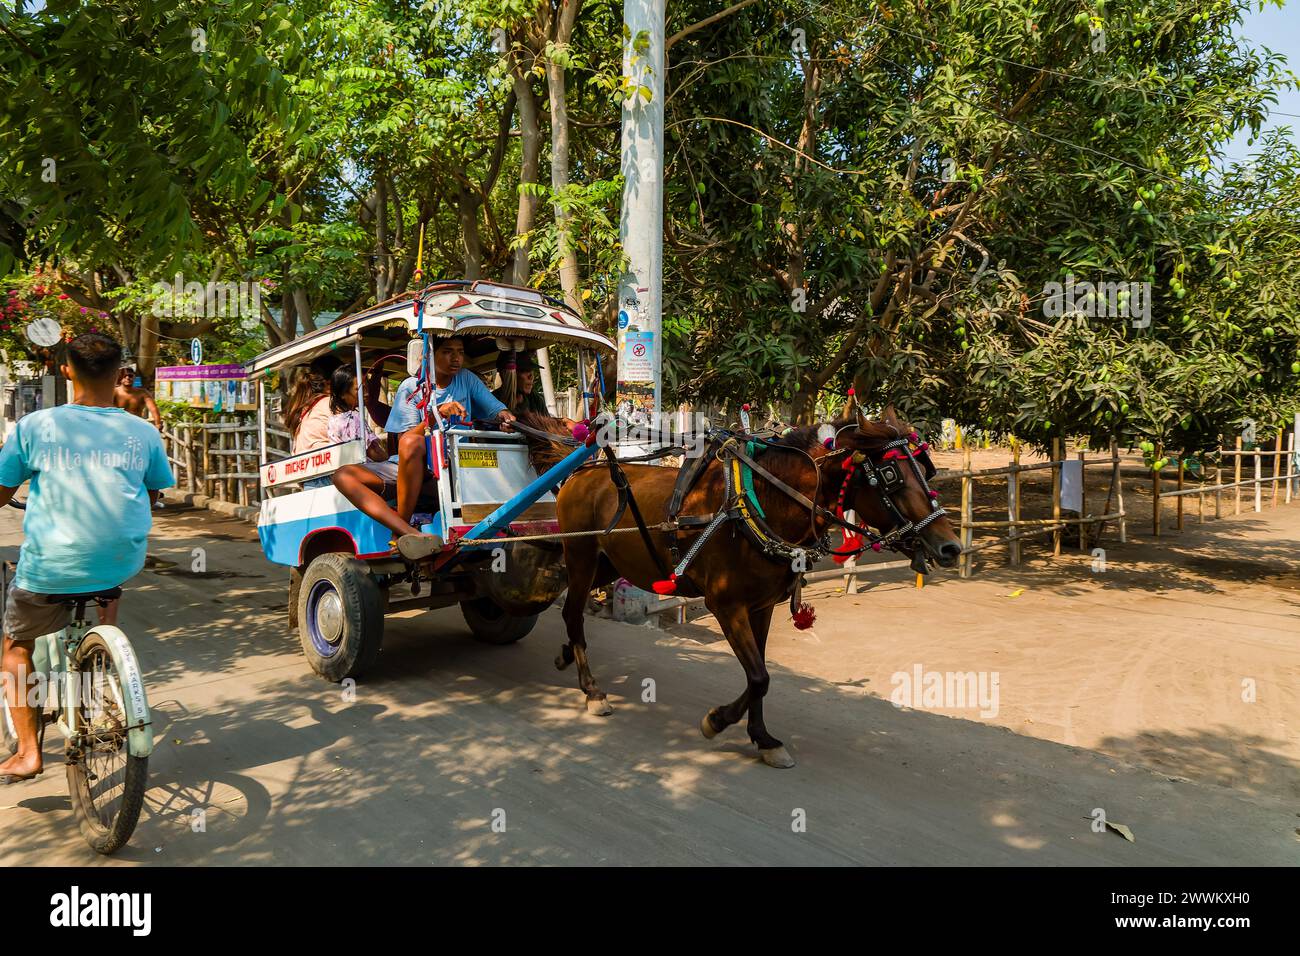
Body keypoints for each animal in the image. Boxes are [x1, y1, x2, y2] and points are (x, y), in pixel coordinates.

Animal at [515, 405, 962, 768]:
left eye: (927, 471)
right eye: (890, 476)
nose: (951, 547)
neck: (761, 504)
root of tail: (581, 469)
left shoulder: (761, 607)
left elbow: (759, 675)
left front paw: (763, 739)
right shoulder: (727, 606)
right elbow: (760, 677)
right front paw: (716, 721)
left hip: (608, 564)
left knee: (570, 607)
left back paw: (566, 656)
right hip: (582, 555)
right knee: (572, 610)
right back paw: (592, 691)